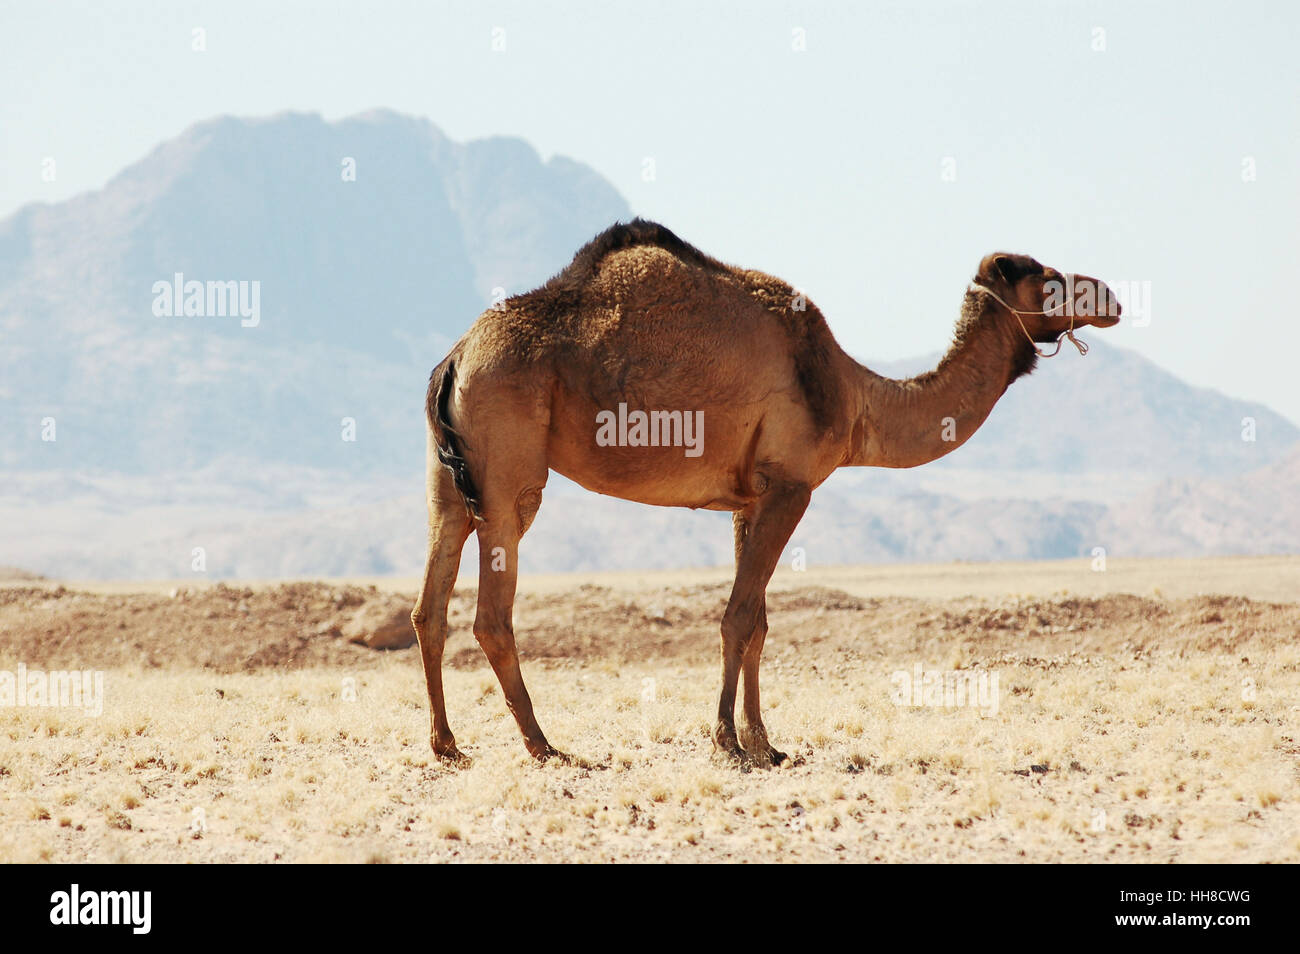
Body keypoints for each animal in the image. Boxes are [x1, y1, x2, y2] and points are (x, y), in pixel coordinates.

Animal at [410, 218, 1120, 766]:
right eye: (1043, 274)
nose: (1111, 295)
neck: (855, 396)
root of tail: (455, 358)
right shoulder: (792, 486)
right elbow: (739, 615)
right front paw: (728, 740)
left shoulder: (750, 498)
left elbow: (760, 622)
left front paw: (765, 742)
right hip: (509, 470)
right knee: (492, 612)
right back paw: (544, 745)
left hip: (450, 479)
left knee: (429, 605)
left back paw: (447, 746)